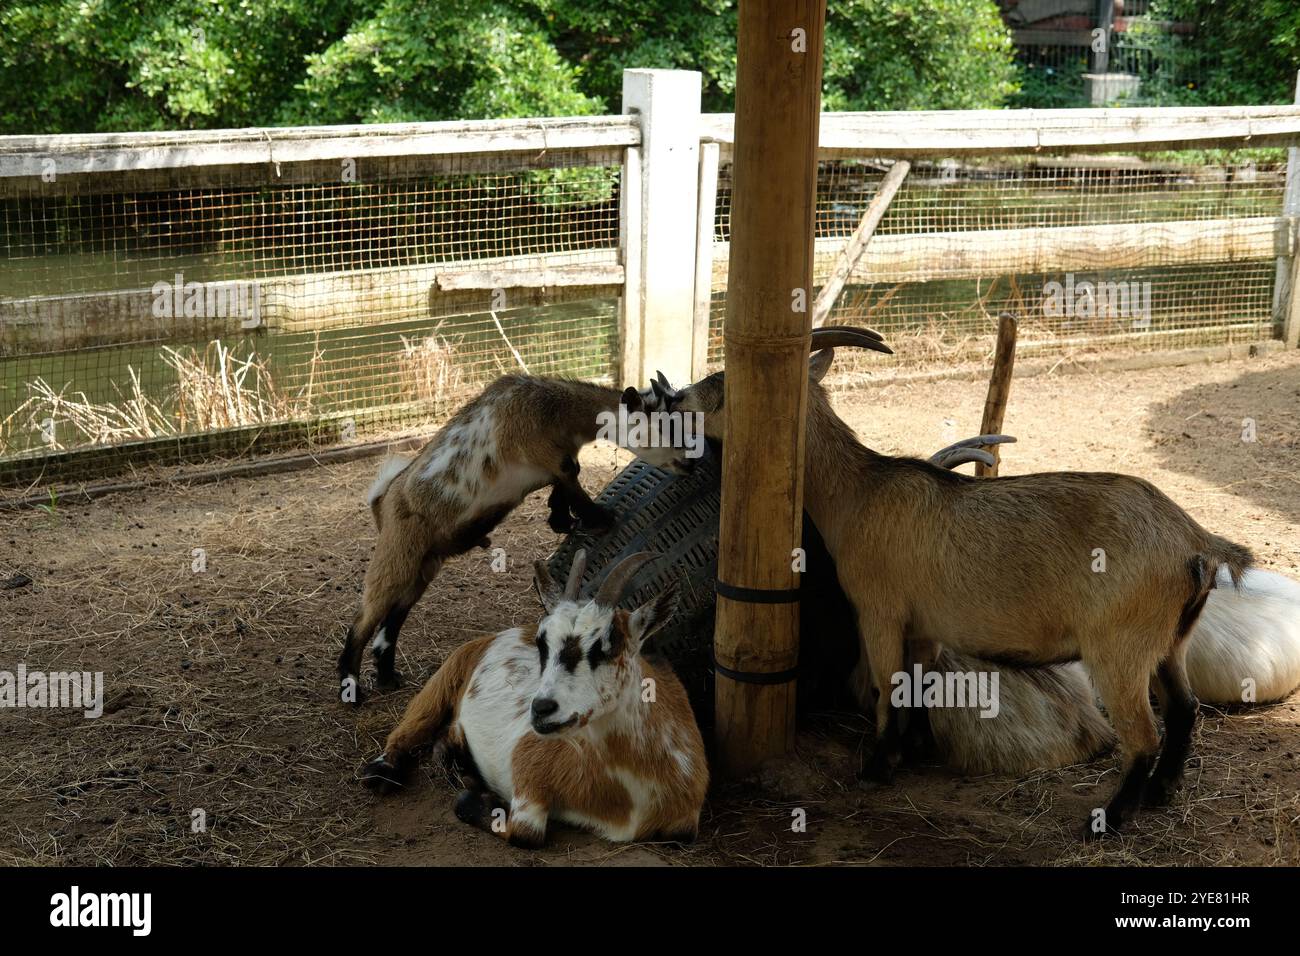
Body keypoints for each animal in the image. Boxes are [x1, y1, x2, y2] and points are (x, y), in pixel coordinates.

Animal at [338, 374, 669, 703]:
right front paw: (601, 518)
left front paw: (563, 518)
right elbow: (569, 472)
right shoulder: (537, 448)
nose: (683, 464)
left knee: (391, 620)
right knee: (365, 618)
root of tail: (382, 501)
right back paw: (351, 689)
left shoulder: (554, 463)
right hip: (397, 556)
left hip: (425, 564)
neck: (555, 408)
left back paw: (387, 678)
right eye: (664, 429)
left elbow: (567, 477)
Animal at [358, 550, 709, 846]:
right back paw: (382, 771)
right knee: (412, 725)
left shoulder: (686, 819)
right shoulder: (529, 774)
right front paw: (481, 799)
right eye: (543, 642)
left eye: (608, 645)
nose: (540, 709)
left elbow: (679, 835)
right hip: (447, 674)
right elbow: (525, 833)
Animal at [646, 326, 1253, 836]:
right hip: (1170, 641)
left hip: (1119, 648)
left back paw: (1109, 819)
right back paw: (1161, 794)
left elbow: (887, 685)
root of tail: (1195, 541)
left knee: (1145, 734)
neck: (859, 490)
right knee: (1185, 708)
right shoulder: (924, 625)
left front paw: (875, 768)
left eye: (725, 385)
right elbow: (915, 685)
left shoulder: (880, 610)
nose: (673, 399)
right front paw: (911, 754)